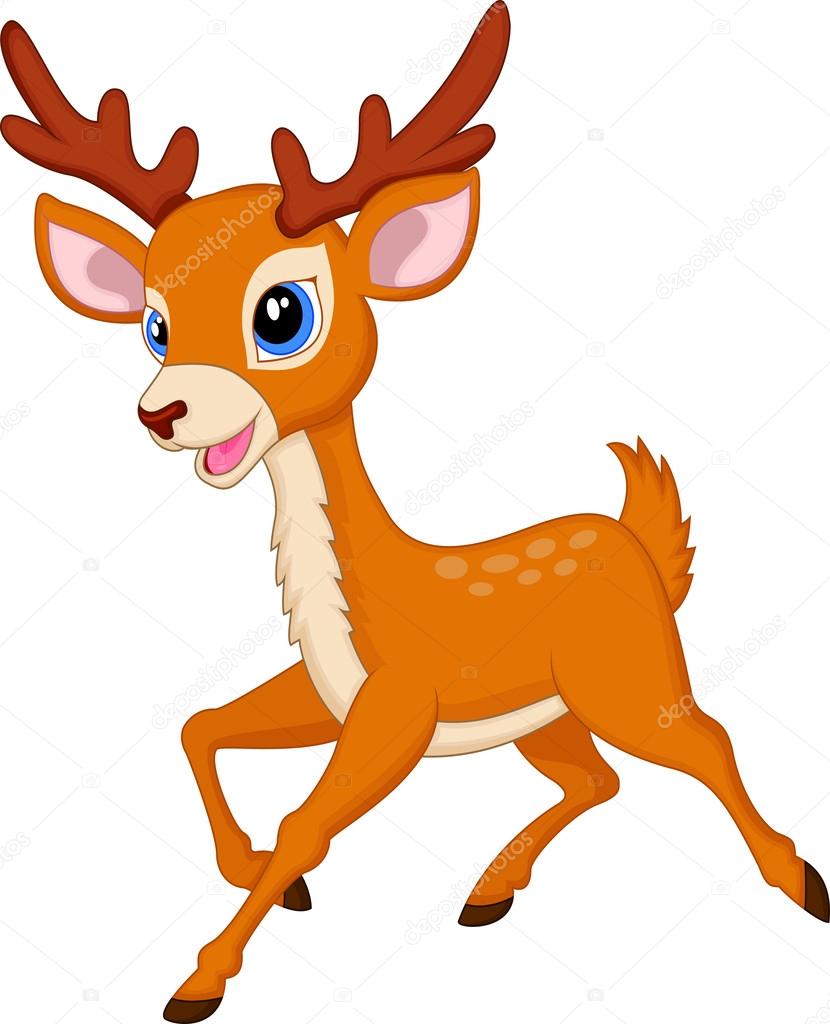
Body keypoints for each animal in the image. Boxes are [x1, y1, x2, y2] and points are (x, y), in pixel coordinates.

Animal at [2, 4, 827, 1021]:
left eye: (281, 312)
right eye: (154, 324)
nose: (164, 411)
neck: (363, 599)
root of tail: (632, 537)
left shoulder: (398, 708)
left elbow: (305, 821)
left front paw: (199, 980)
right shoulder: (331, 694)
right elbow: (201, 727)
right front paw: (257, 876)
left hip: (627, 677)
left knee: (704, 739)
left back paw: (799, 882)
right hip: (548, 714)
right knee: (601, 777)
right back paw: (490, 890)